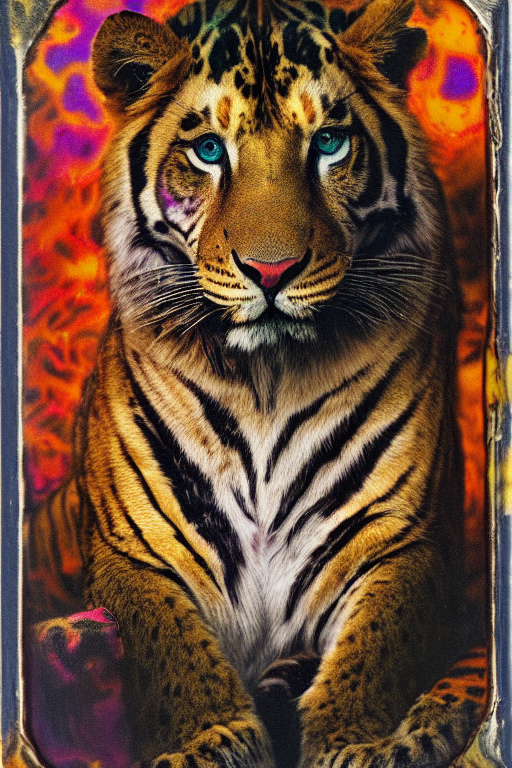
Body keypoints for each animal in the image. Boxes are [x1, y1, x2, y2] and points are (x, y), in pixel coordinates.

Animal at [24, 0, 485, 766]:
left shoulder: (399, 539)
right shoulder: (135, 549)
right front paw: (210, 740)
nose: (272, 271)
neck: (267, 383)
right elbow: (167, 644)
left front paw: (351, 740)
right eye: (209, 152)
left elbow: (377, 648)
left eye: (329, 143)